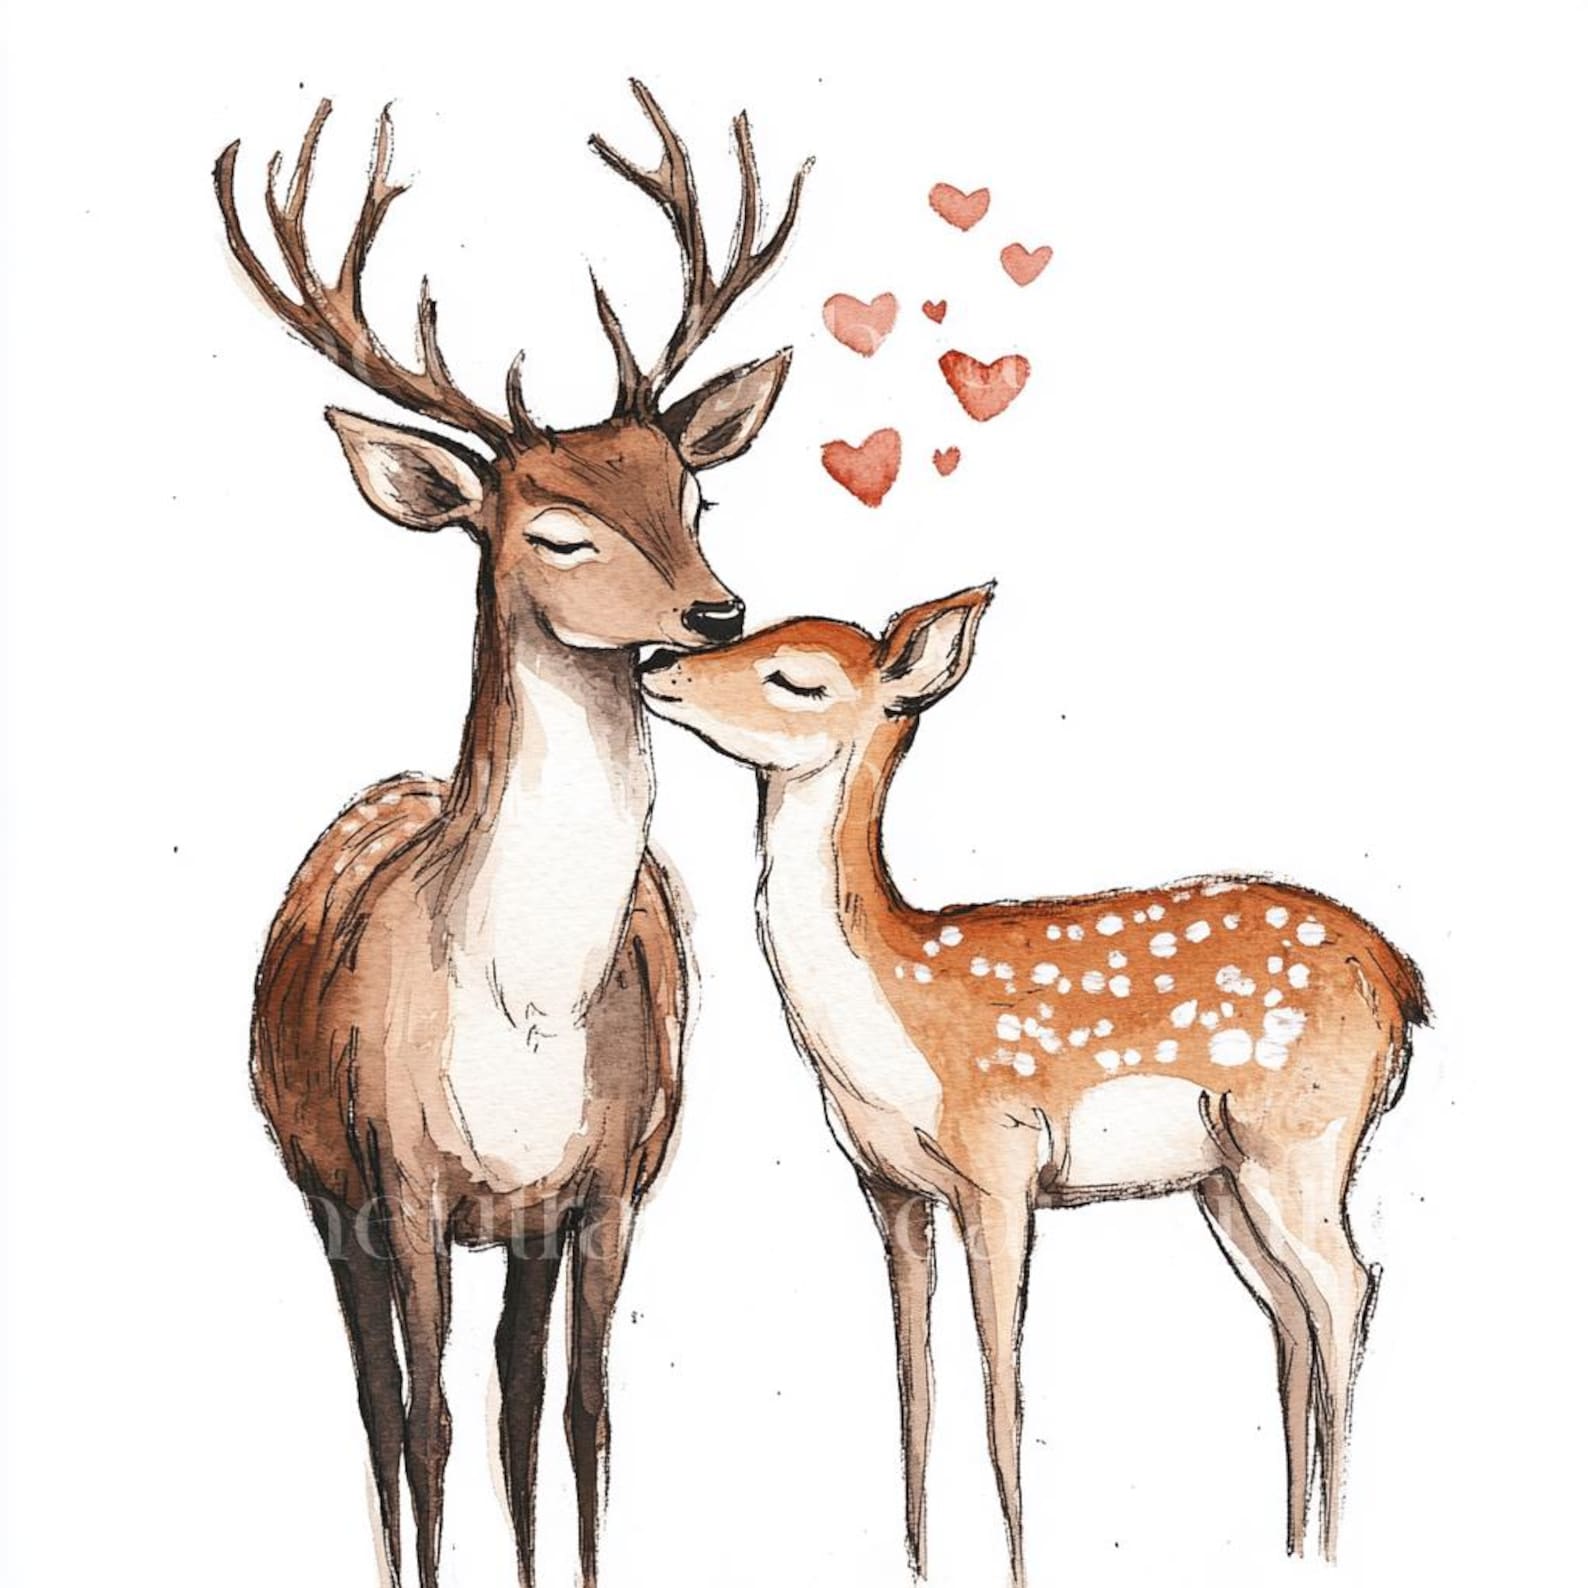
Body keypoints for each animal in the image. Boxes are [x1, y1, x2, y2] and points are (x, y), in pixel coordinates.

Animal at [214, 83, 808, 1588]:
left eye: (691, 492)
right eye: (555, 529)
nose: (717, 610)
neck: (527, 1013)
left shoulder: (606, 1187)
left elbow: (579, 1420)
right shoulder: (404, 1179)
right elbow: (422, 1422)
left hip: (517, 1233)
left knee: (518, 1399)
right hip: (318, 1182)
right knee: (382, 1404)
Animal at [638, 585, 1429, 1583]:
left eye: (797, 678)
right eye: (756, 632)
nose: (659, 665)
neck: (894, 1028)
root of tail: (1398, 982)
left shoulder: (1002, 1163)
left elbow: (1000, 1393)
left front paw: (1015, 1562)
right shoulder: (887, 1185)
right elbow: (915, 1388)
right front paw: (917, 1559)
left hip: (1302, 1137)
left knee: (1348, 1287)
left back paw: (1333, 1544)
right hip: (1225, 1179)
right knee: (1290, 1310)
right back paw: (1290, 1547)